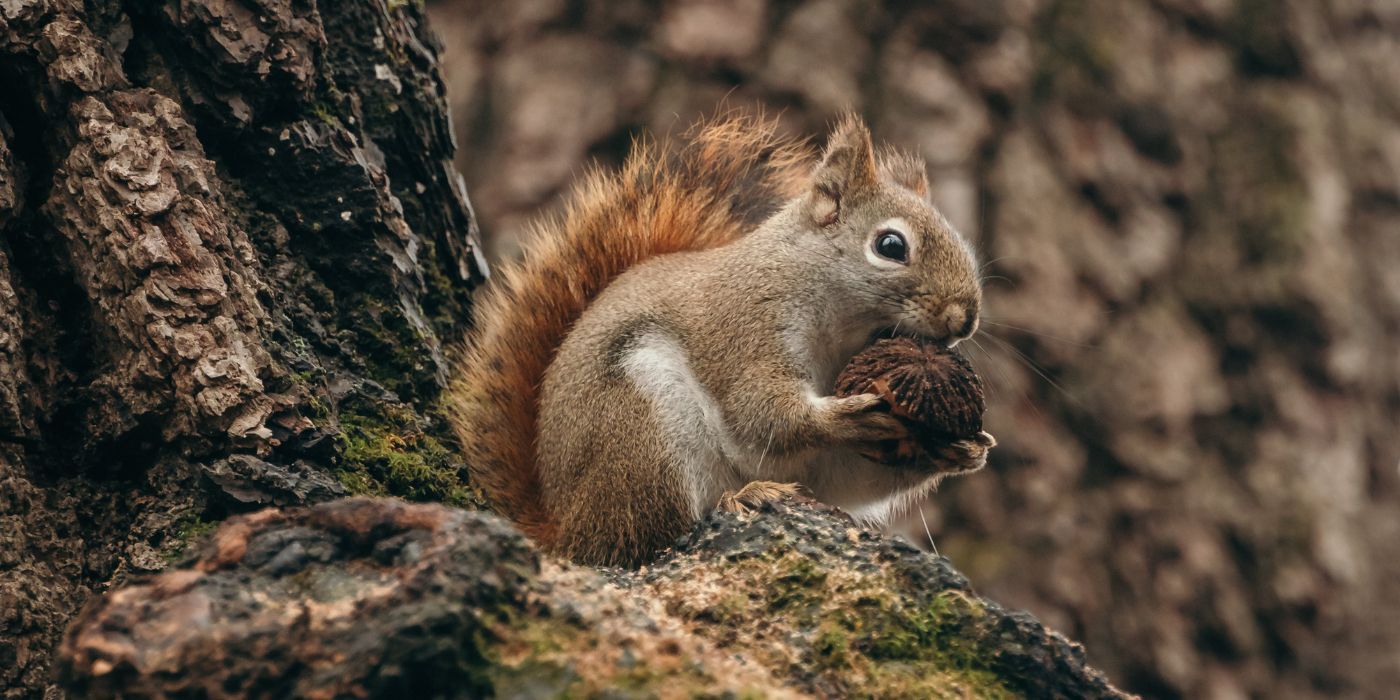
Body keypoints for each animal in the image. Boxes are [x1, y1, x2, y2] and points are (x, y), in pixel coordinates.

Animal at [446, 114, 991, 567]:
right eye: (891, 246)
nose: (964, 319)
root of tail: (564, 530)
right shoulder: (744, 332)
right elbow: (763, 415)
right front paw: (845, 417)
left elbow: (841, 477)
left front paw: (958, 451)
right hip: (641, 428)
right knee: (650, 538)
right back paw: (742, 497)